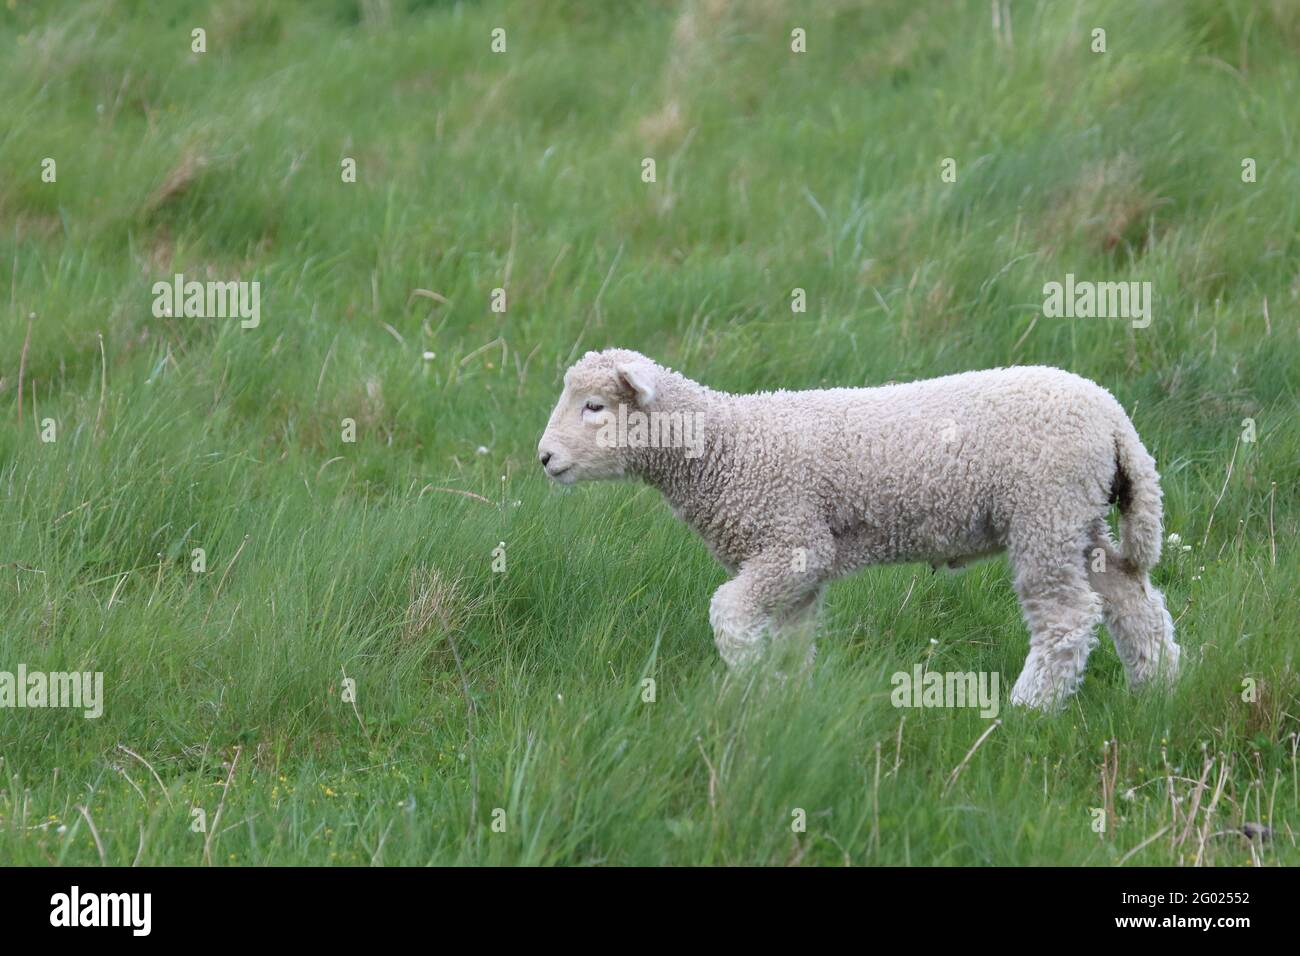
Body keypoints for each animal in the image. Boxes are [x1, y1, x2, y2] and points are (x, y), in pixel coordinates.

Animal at [537, 348, 1180, 710]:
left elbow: (728, 612)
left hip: (1043, 512)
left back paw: (1028, 709)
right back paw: (1158, 691)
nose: (543, 457)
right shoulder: (795, 567)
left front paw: (750, 681)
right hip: (1079, 520)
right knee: (1133, 599)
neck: (724, 447)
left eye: (594, 406)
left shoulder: (793, 541)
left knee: (1067, 619)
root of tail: (1114, 418)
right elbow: (793, 640)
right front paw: (785, 700)